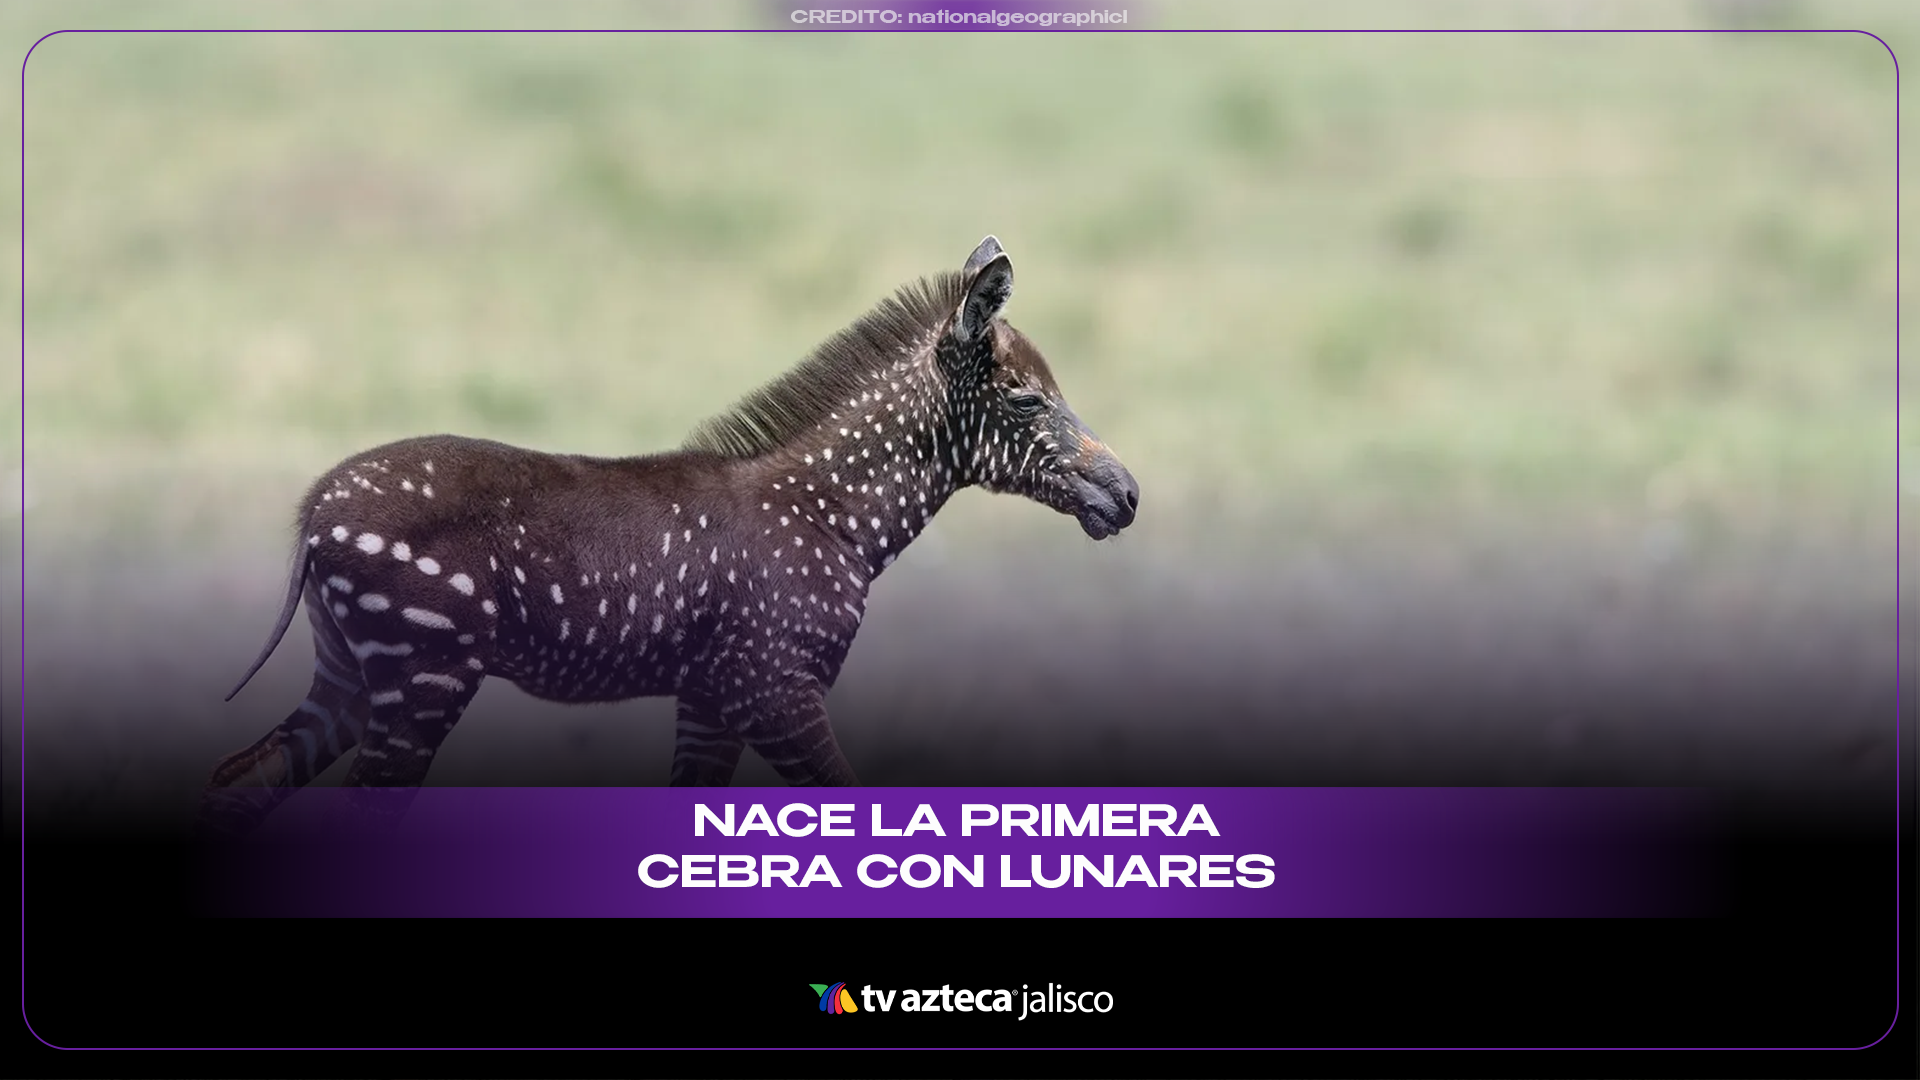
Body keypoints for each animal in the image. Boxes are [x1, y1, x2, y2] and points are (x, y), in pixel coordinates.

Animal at [201, 236, 1139, 834]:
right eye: (1027, 398)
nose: (1127, 496)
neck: (827, 517)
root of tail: (315, 511)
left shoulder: (712, 700)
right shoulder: (774, 688)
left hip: (351, 677)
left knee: (239, 778)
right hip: (422, 676)